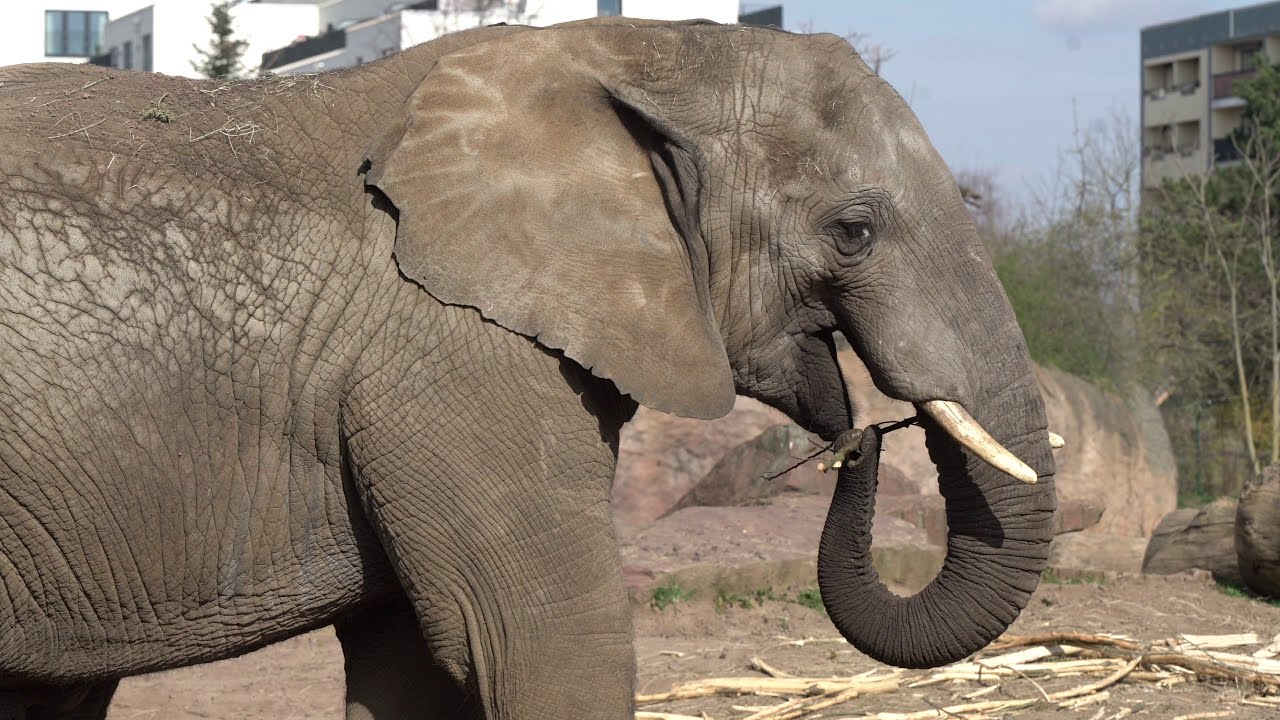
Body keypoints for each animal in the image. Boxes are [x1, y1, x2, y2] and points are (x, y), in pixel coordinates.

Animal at [0, 16, 1056, 720]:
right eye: (854, 231)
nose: (861, 435)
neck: (628, 51)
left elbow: (412, 669)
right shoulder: (454, 357)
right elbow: (541, 641)